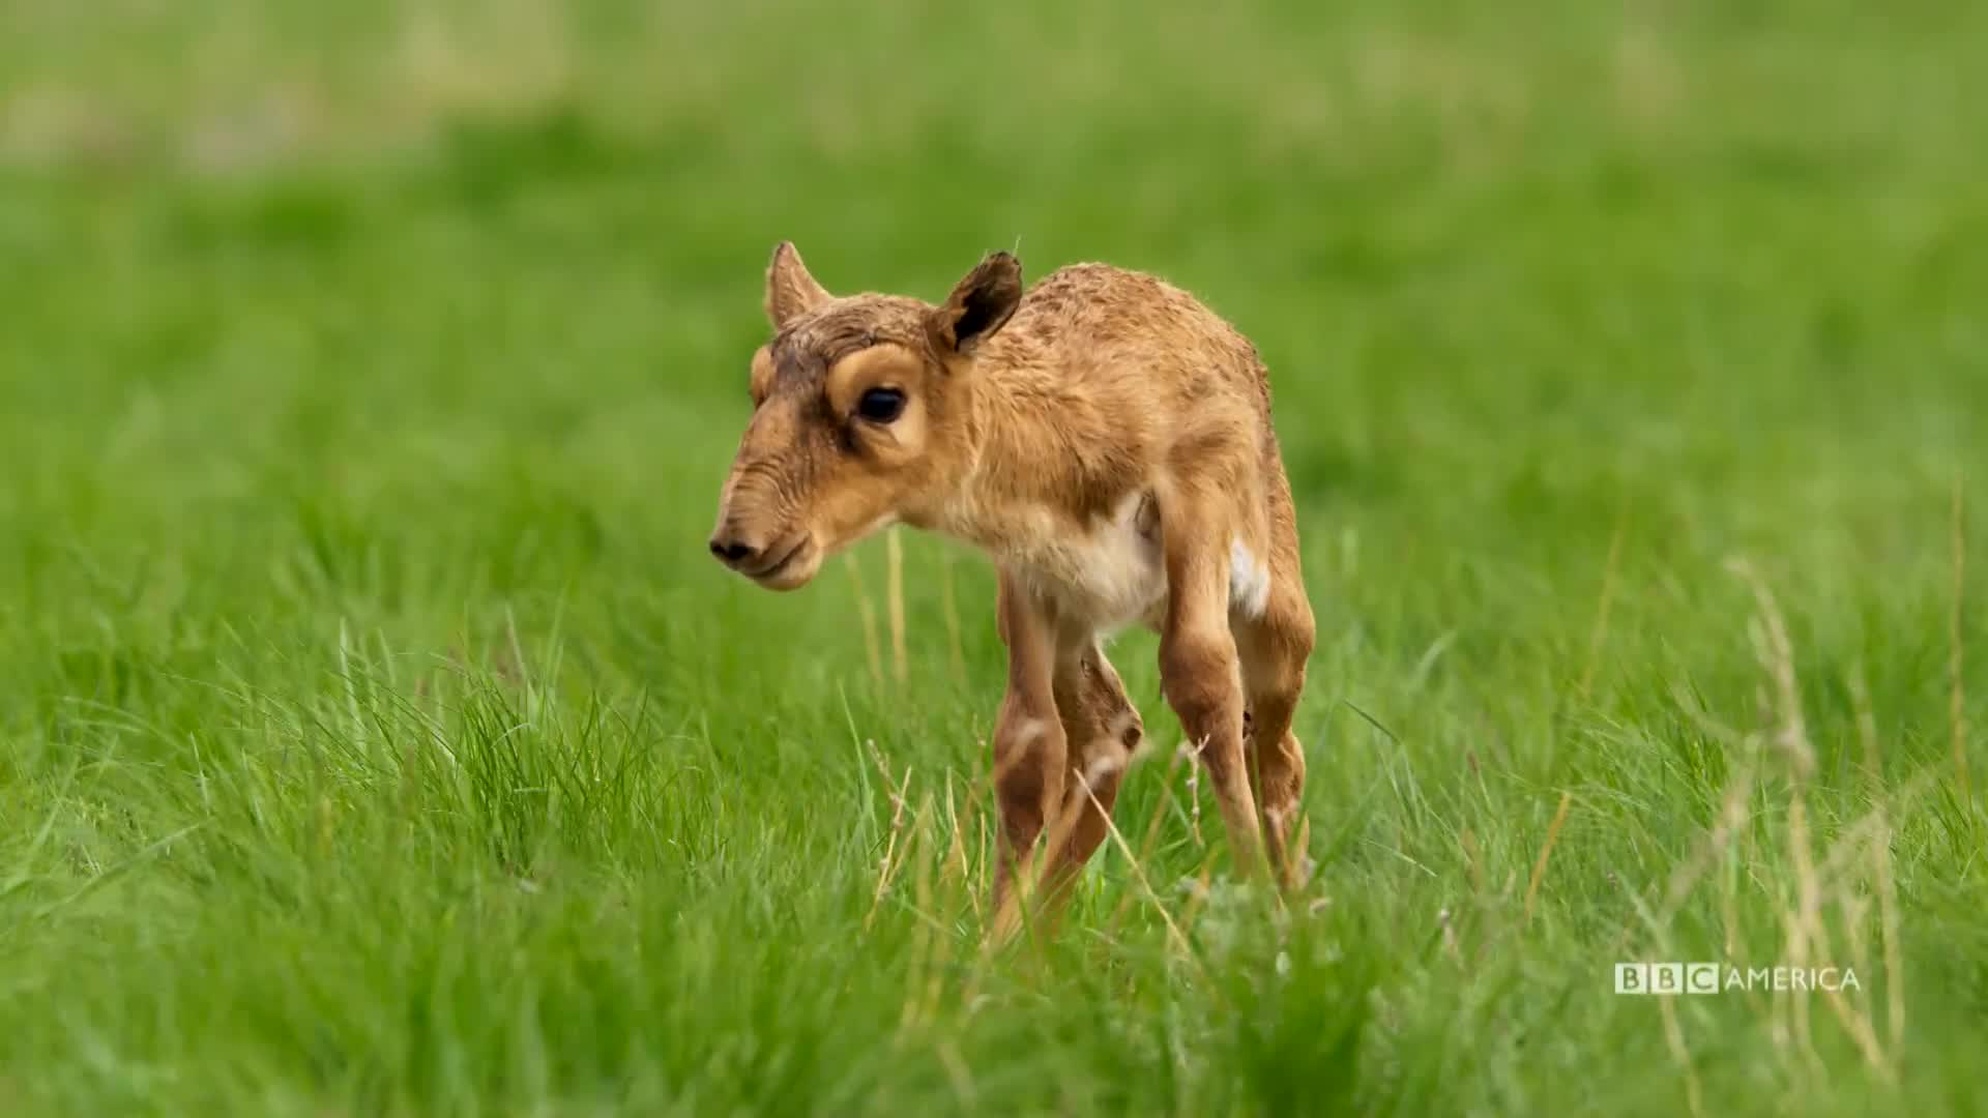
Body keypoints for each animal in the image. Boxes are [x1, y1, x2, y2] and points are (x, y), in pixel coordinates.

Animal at [708, 243, 1317, 935]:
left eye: (882, 399)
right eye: (759, 388)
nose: (738, 541)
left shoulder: (1198, 498)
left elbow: (1201, 677)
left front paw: (1258, 906)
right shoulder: (1028, 578)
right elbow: (1028, 746)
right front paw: (992, 948)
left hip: (1280, 620)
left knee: (1277, 745)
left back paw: (1293, 894)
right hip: (1075, 629)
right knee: (1113, 730)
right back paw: (1039, 940)